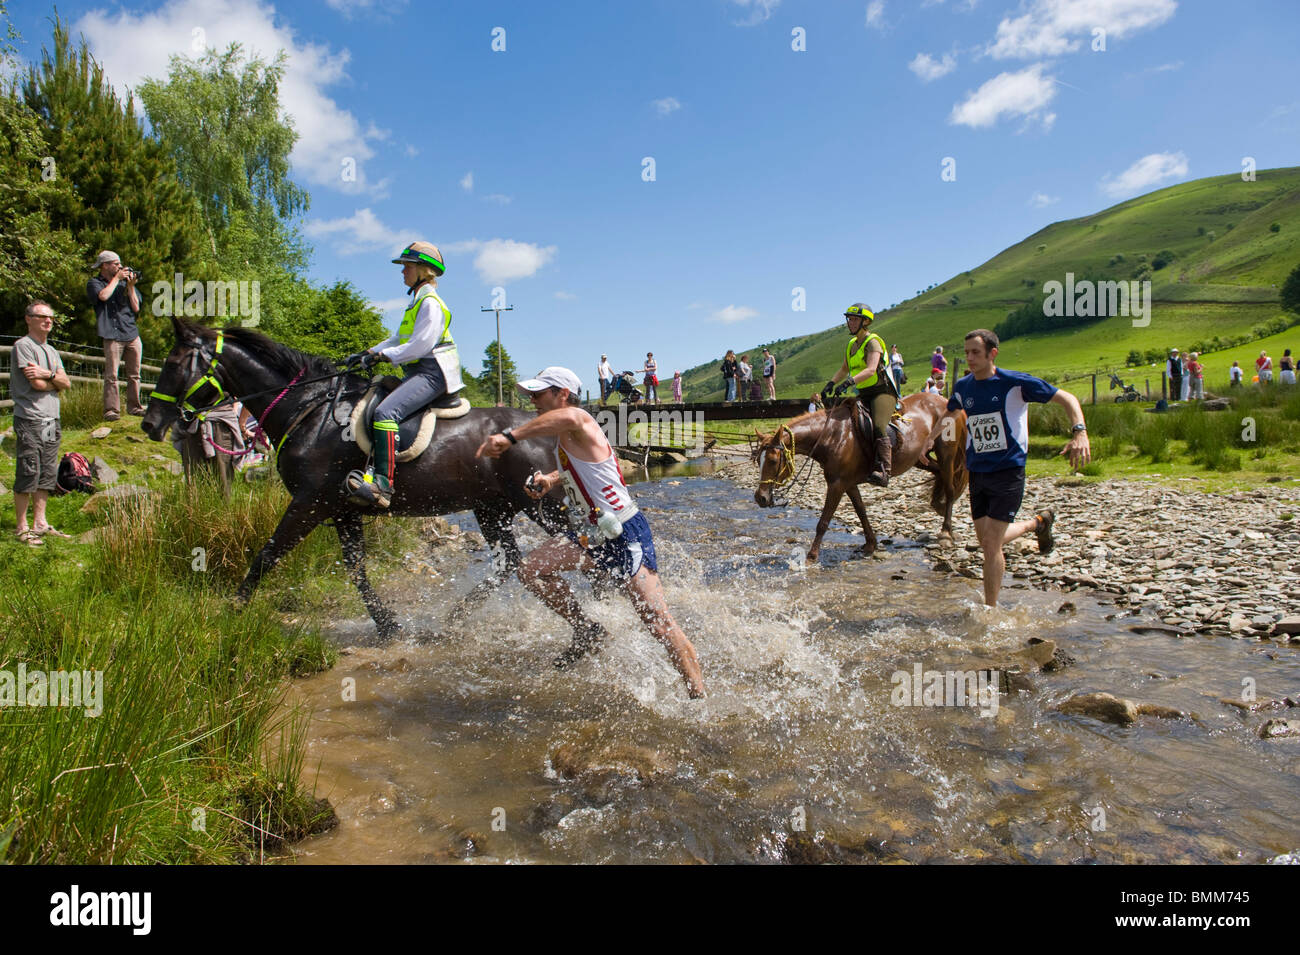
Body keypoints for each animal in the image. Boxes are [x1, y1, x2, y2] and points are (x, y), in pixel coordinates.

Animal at [141, 316, 570, 639]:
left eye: (173, 365)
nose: (150, 424)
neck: (308, 411)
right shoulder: (341, 509)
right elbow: (356, 569)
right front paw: (388, 625)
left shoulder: (309, 503)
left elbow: (268, 554)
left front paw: (233, 609)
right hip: (492, 509)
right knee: (508, 563)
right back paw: (453, 619)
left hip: (542, 505)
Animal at [752, 393, 968, 562]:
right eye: (757, 460)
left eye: (772, 460)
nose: (760, 498)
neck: (832, 436)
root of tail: (946, 401)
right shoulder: (849, 483)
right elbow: (861, 511)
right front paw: (870, 544)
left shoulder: (837, 484)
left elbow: (824, 522)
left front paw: (812, 556)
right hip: (920, 458)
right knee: (938, 473)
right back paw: (937, 505)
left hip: (946, 453)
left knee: (950, 487)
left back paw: (946, 532)